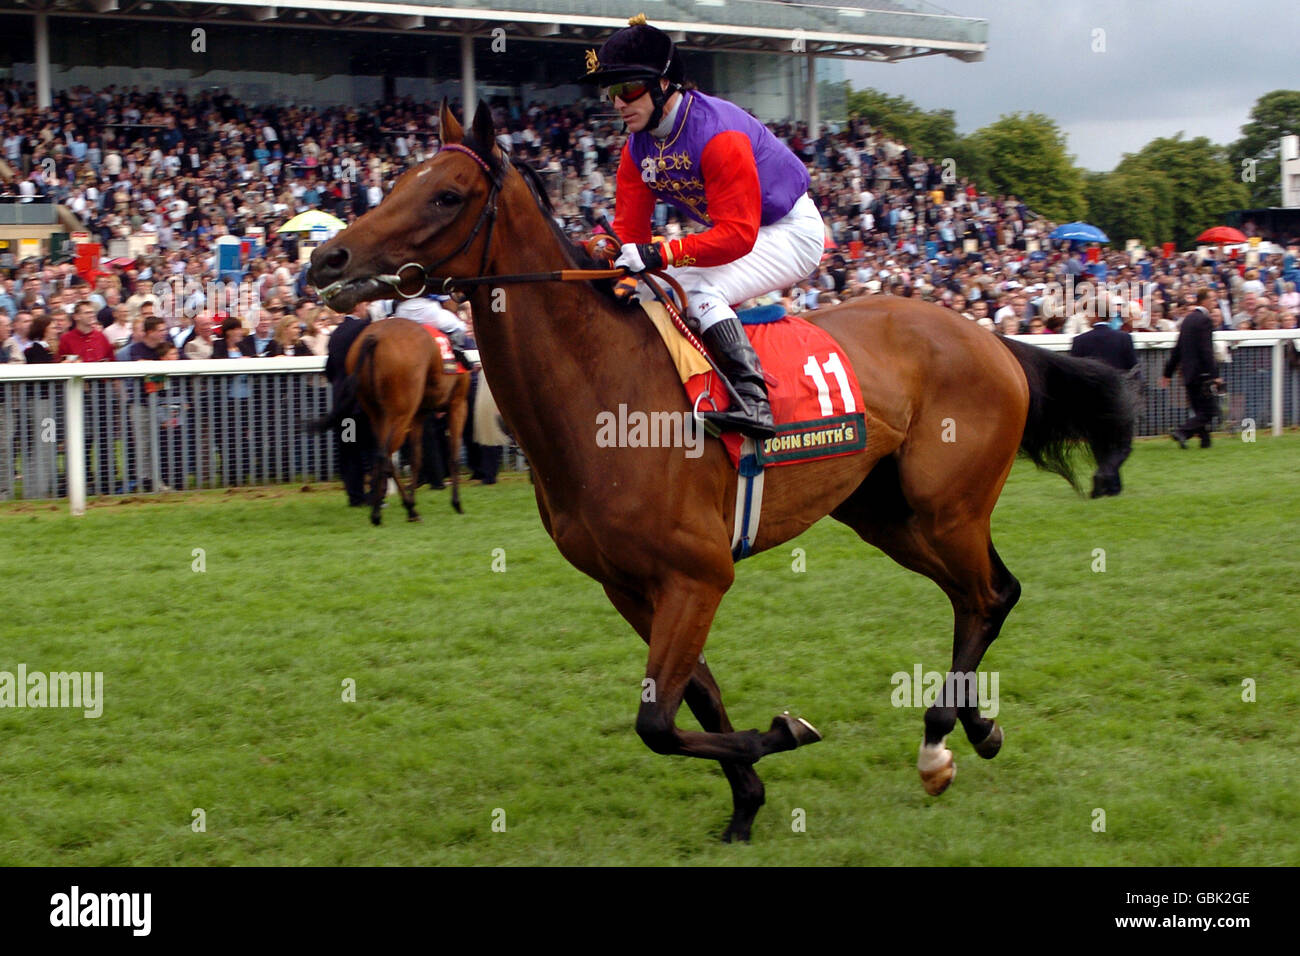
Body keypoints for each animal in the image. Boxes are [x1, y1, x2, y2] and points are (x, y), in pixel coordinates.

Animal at [314, 317, 471, 524]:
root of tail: (375, 338)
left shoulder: (419, 414)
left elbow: (416, 458)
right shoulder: (458, 404)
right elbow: (453, 456)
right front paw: (457, 503)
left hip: (378, 414)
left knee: (385, 457)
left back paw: (408, 509)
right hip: (399, 413)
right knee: (383, 454)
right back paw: (379, 513)